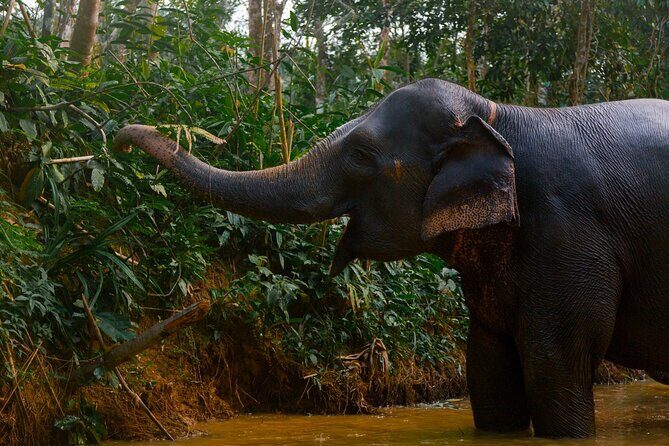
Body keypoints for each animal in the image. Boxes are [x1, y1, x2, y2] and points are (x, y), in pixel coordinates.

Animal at [113, 78, 669, 438]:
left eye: (360, 154)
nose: (120, 135)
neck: (501, 116)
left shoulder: (569, 234)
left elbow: (556, 363)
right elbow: (487, 364)